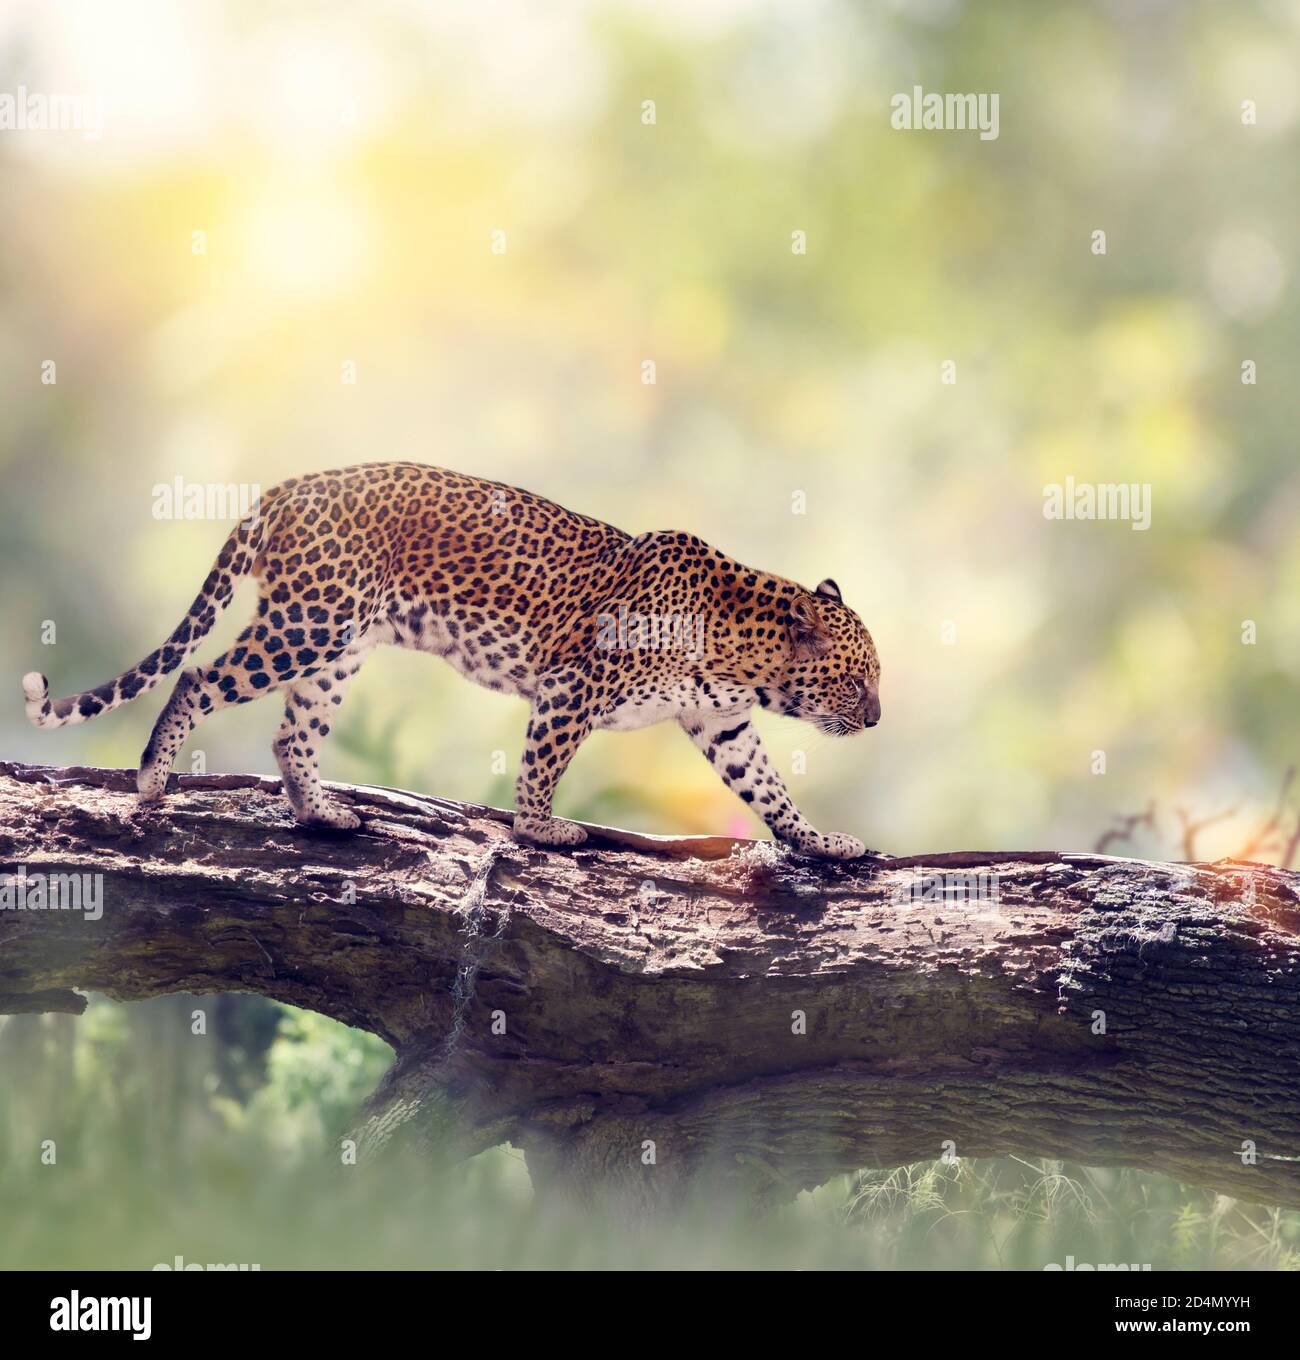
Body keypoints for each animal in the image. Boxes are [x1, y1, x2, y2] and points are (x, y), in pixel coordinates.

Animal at [22, 462, 882, 858]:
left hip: (340, 645)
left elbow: (768, 789)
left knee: (292, 734)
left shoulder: (723, 724)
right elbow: (542, 763)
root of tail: (283, 490)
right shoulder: (572, 687)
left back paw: (321, 812)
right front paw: (539, 830)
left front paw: (821, 843)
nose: (875, 718)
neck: (745, 661)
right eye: (857, 678)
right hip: (308, 624)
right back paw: (154, 778)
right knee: (198, 676)